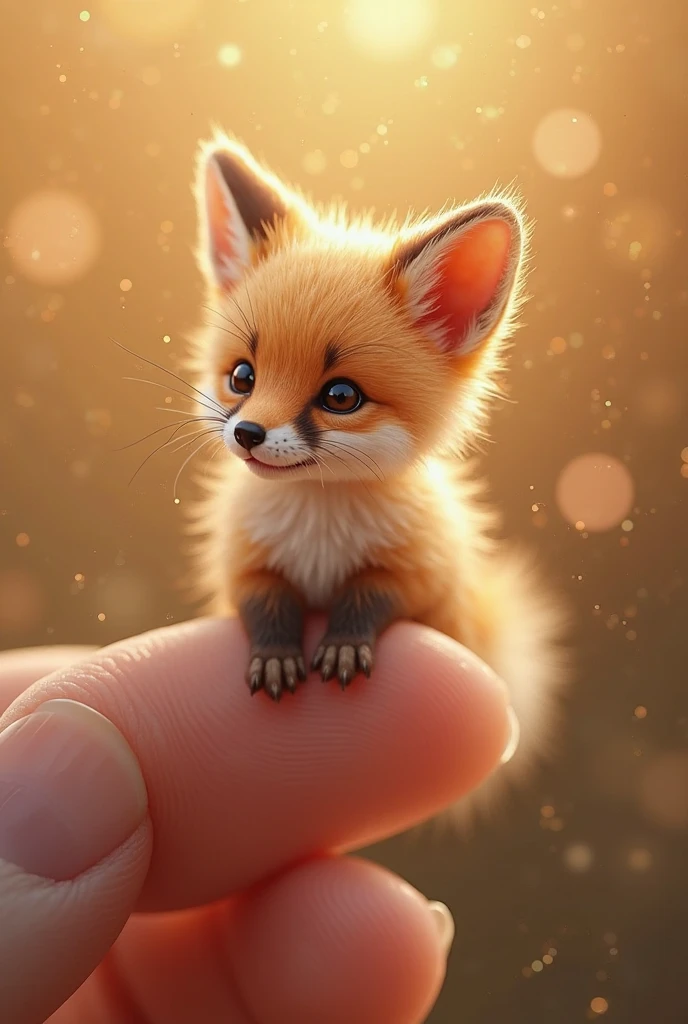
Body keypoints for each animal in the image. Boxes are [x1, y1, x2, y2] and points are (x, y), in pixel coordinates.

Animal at [184, 132, 568, 820]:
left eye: (341, 396)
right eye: (242, 377)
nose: (247, 434)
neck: (319, 532)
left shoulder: (423, 573)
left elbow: (371, 594)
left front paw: (341, 643)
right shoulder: (239, 563)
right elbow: (263, 599)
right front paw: (277, 655)